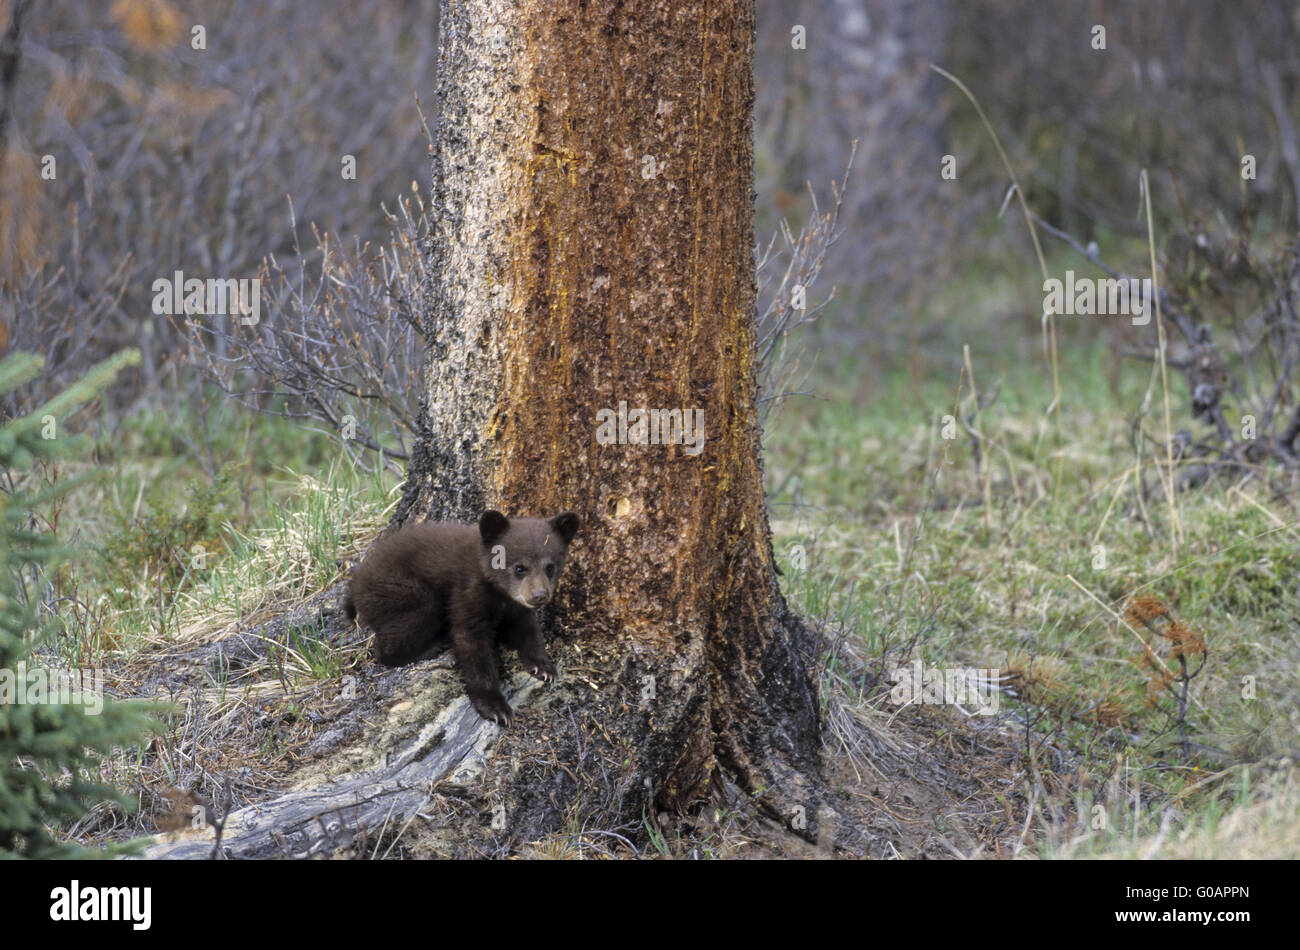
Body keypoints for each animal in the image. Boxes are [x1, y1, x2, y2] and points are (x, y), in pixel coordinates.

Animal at [343, 510, 581, 726]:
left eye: (550, 567)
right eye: (520, 568)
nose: (539, 595)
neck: (499, 593)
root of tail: (354, 584)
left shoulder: (516, 607)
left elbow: (529, 630)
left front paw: (544, 667)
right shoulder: (466, 592)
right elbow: (472, 644)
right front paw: (495, 707)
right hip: (399, 589)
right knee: (394, 637)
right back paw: (429, 647)